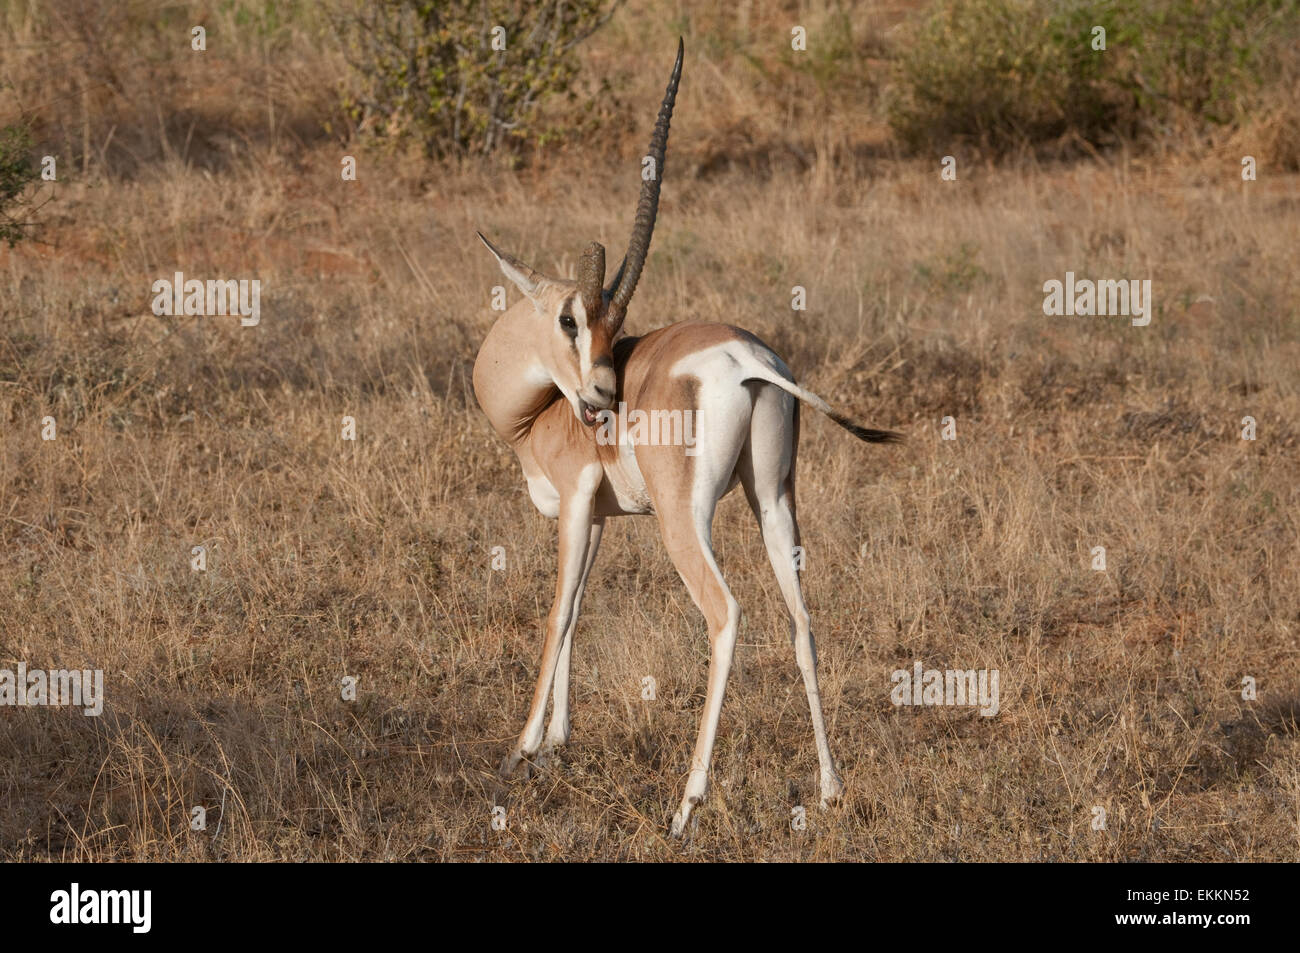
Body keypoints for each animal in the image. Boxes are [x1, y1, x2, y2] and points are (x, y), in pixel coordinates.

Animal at [472, 39, 899, 836]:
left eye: (598, 322)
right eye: (573, 319)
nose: (601, 401)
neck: (534, 413)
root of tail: (748, 360)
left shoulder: (574, 503)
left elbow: (556, 612)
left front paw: (521, 751)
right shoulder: (600, 516)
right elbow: (580, 608)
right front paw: (558, 742)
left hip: (685, 518)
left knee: (725, 613)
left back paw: (686, 805)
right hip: (774, 502)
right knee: (802, 619)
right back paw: (829, 788)